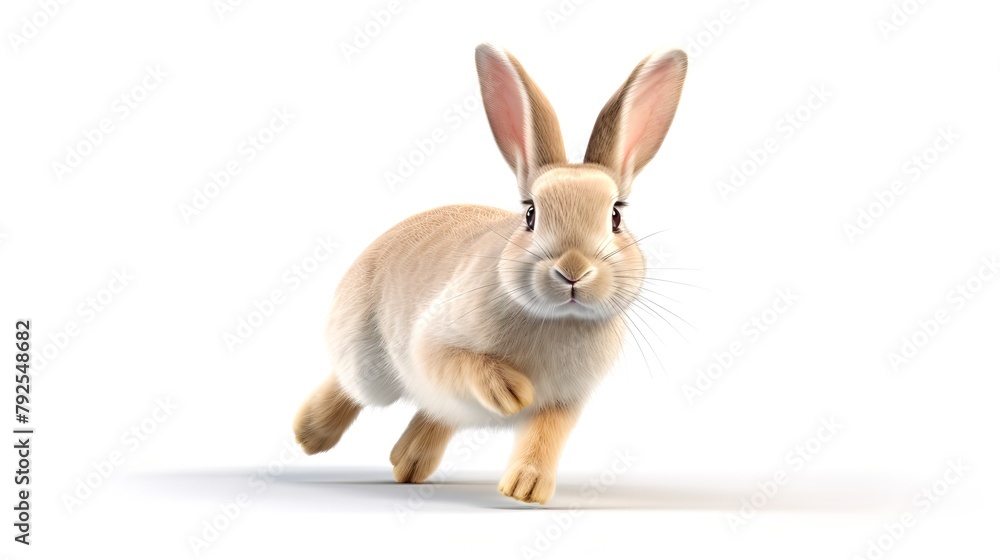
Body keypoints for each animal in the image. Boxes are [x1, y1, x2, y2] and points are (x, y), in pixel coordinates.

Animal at [293, 43, 687, 504]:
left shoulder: (565, 402)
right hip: (367, 360)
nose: (573, 270)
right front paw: (512, 392)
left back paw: (407, 463)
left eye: (615, 218)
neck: (558, 320)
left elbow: (544, 437)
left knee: (432, 417)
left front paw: (525, 489)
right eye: (531, 215)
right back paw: (308, 434)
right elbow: (462, 362)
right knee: (350, 387)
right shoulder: (431, 346)